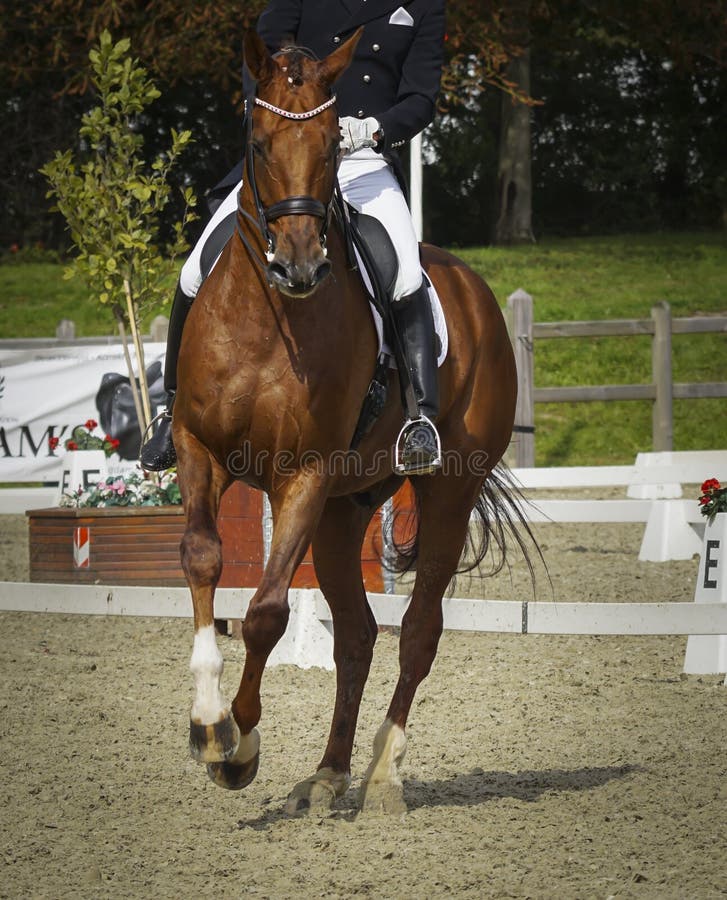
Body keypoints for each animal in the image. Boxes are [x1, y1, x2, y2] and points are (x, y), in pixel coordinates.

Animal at [174, 29, 529, 815]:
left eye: (334, 145)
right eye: (259, 141)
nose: (300, 267)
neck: (270, 318)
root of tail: (473, 288)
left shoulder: (301, 476)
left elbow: (268, 613)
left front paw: (241, 747)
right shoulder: (197, 449)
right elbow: (204, 559)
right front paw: (209, 724)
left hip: (445, 491)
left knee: (418, 630)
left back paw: (383, 772)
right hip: (344, 508)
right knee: (358, 637)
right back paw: (329, 772)